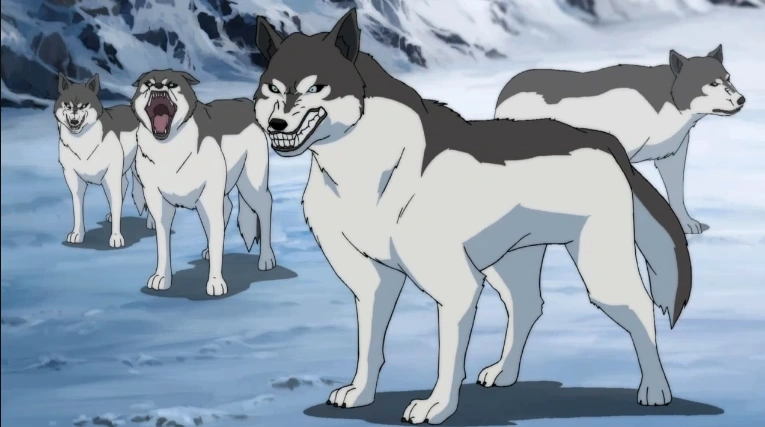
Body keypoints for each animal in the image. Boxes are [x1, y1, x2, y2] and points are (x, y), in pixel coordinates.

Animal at [56, 73, 153, 247]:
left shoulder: (111, 176)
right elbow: (78, 207)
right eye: (67, 105)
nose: (74, 122)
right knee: (124, 186)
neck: (83, 143)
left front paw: (116, 238)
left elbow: (115, 201)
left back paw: (152, 223)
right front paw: (77, 234)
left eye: (84, 105)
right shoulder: (74, 180)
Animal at [131, 69, 276, 297]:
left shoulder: (209, 198)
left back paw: (267, 259)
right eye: (148, 84)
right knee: (228, 207)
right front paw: (162, 278)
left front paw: (216, 283)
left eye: (172, 84)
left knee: (264, 207)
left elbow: (216, 237)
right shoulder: (158, 201)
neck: (169, 149)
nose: (158, 89)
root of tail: (244, 103)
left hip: (251, 186)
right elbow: (163, 242)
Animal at [254, 9, 691, 425]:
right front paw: (361, 393)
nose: (276, 124)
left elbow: (447, 358)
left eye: (316, 87)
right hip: (505, 262)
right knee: (527, 305)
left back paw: (655, 389)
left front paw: (437, 407)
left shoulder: (456, 287)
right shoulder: (373, 282)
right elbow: (369, 348)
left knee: (640, 308)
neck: (361, 170)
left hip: (600, 273)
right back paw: (505, 373)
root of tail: (603, 139)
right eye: (271, 88)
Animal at [495, 46, 746, 234]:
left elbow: (676, 194)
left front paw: (687, 225)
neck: (669, 102)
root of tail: (505, 90)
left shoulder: (672, 156)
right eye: (712, 83)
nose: (741, 99)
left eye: (728, 78)